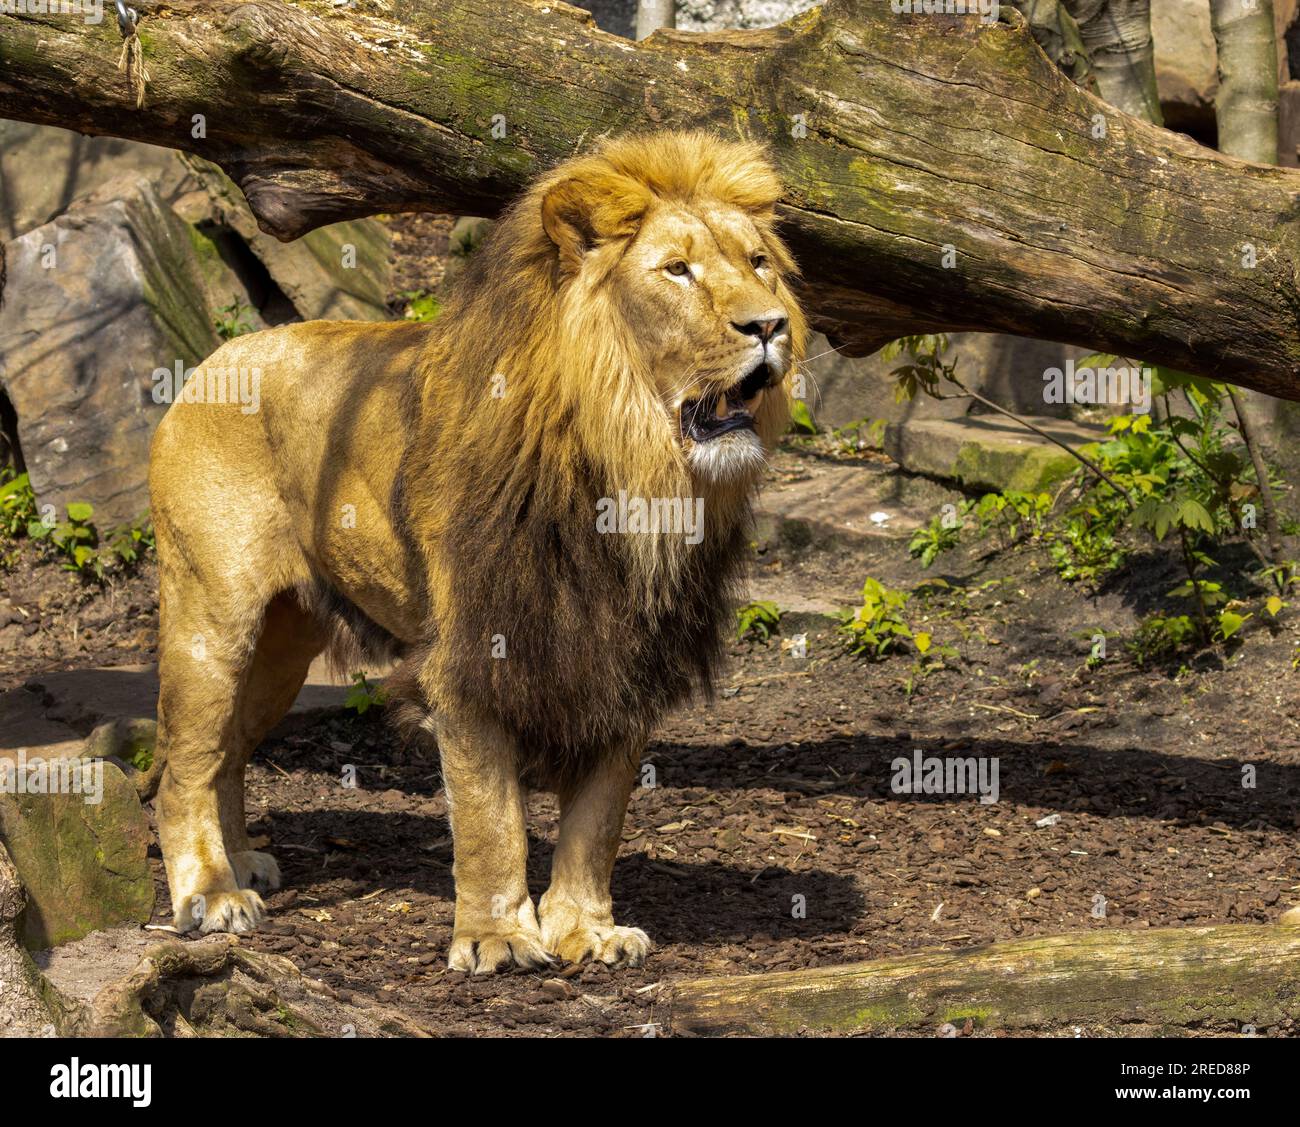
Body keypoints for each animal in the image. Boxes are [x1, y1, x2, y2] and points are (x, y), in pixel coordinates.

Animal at [148, 130, 808, 972]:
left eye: (758, 263)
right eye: (677, 270)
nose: (771, 325)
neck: (624, 465)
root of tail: (209, 359)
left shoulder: (624, 652)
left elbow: (597, 819)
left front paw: (586, 930)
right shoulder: (468, 657)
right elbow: (492, 815)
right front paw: (497, 936)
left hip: (283, 647)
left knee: (227, 752)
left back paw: (240, 861)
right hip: (214, 617)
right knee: (185, 766)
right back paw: (209, 893)